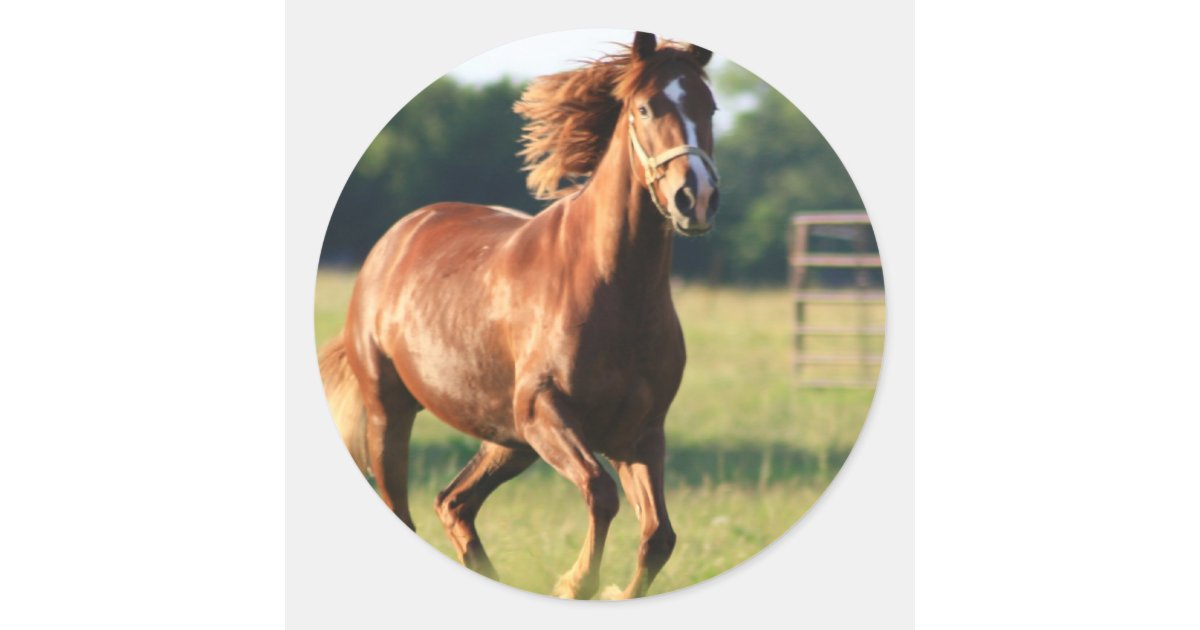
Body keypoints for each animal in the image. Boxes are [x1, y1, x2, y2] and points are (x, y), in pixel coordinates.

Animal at [319, 31, 720, 599]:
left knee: (453, 503)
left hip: (507, 439)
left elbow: (658, 536)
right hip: (392, 415)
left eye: (710, 107)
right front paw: (576, 582)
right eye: (646, 106)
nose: (696, 198)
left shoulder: (640, 433)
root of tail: (394, 241)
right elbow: (601, 491)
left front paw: (606, 589)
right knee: (406, 508)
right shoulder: (544, 411)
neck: (614, 291)